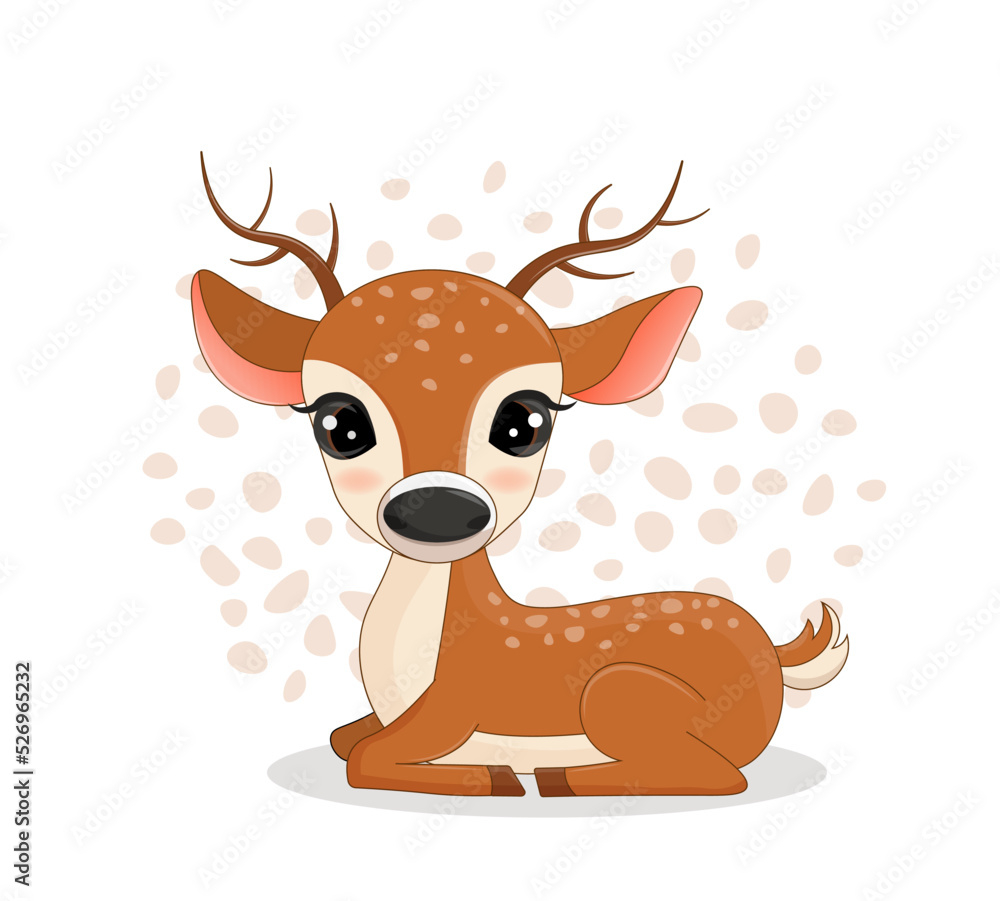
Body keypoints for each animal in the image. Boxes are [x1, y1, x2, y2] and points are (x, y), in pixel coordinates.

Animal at [191, 154, 848, 797]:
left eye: (524, 422)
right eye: (340, 423)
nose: (437, 509)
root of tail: (776, 657)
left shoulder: (455, 708)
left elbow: (364, 758)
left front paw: (486, 776)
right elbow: (341, 738)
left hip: (618, 691)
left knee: (719, 774)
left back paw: (563, 777)